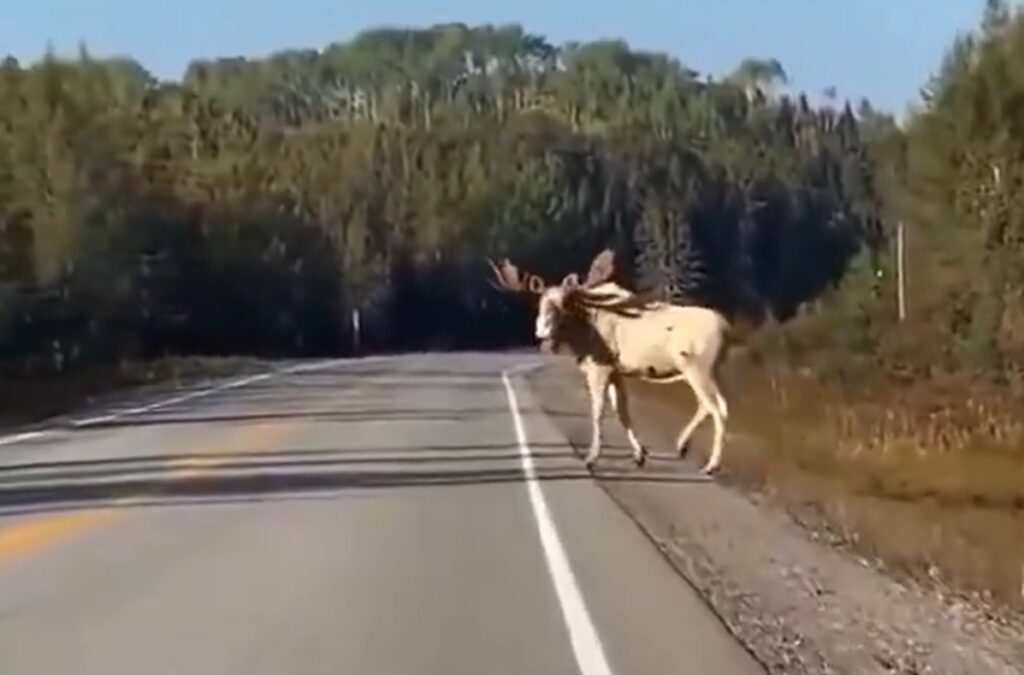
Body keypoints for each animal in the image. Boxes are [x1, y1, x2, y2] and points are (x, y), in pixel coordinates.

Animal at [488, 248, 733, 475]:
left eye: (564, 304)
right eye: (540, 304)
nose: (542, 331)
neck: (582, 331)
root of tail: (726, 329)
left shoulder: (600, 367)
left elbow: (598, 411)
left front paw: (591, 457)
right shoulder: (616, 371)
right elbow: (622, 412)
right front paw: (639, 454)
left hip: (697, 369)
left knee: (717, 409)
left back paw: (711, 464)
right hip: (710, 371)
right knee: (713, 406)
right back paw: (682, 445)